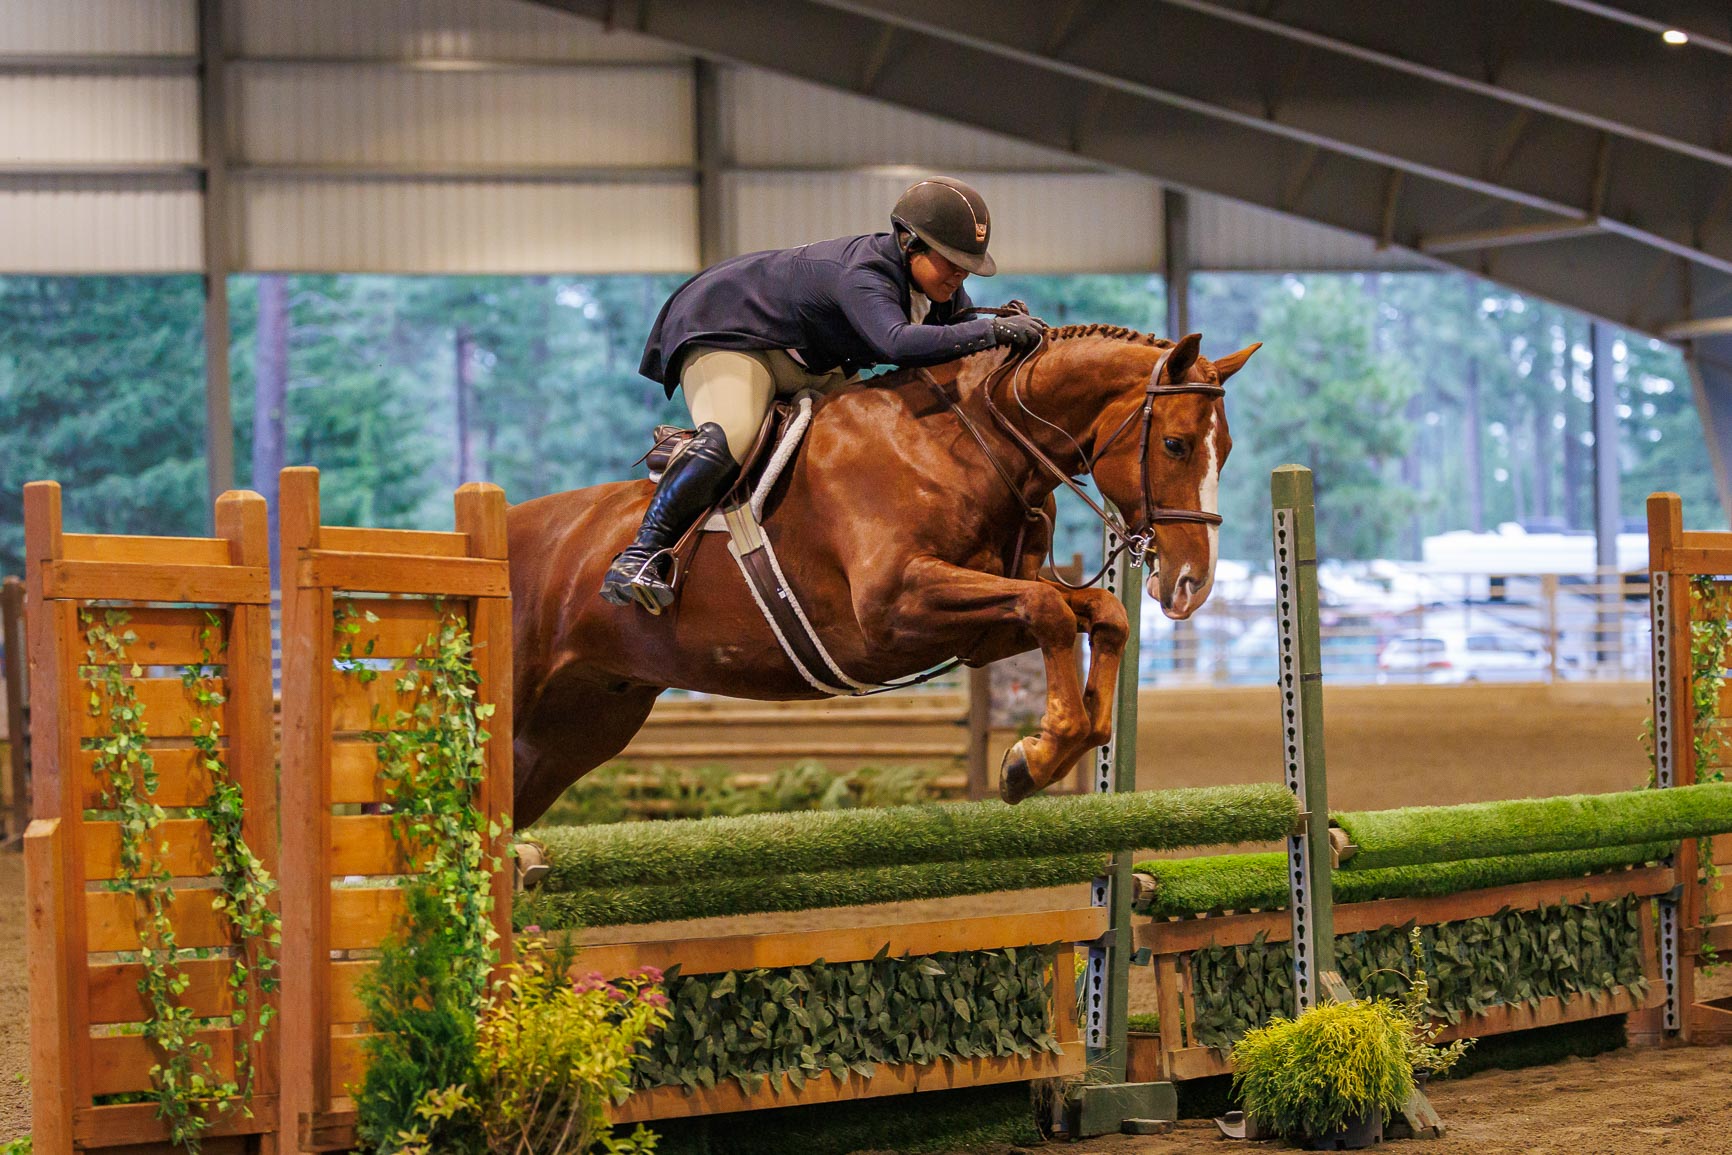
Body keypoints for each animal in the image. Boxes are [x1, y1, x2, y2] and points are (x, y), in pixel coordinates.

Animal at [506, 325, 1258, 824]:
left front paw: (1059, 742)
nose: (1191, 584)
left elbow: (1099, 614)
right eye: (1175, 444)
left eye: (1225, 449)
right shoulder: (895, 609)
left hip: (575, 727)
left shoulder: (982, 626)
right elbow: (1049, 610)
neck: (971, 443)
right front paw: (1032, 759)